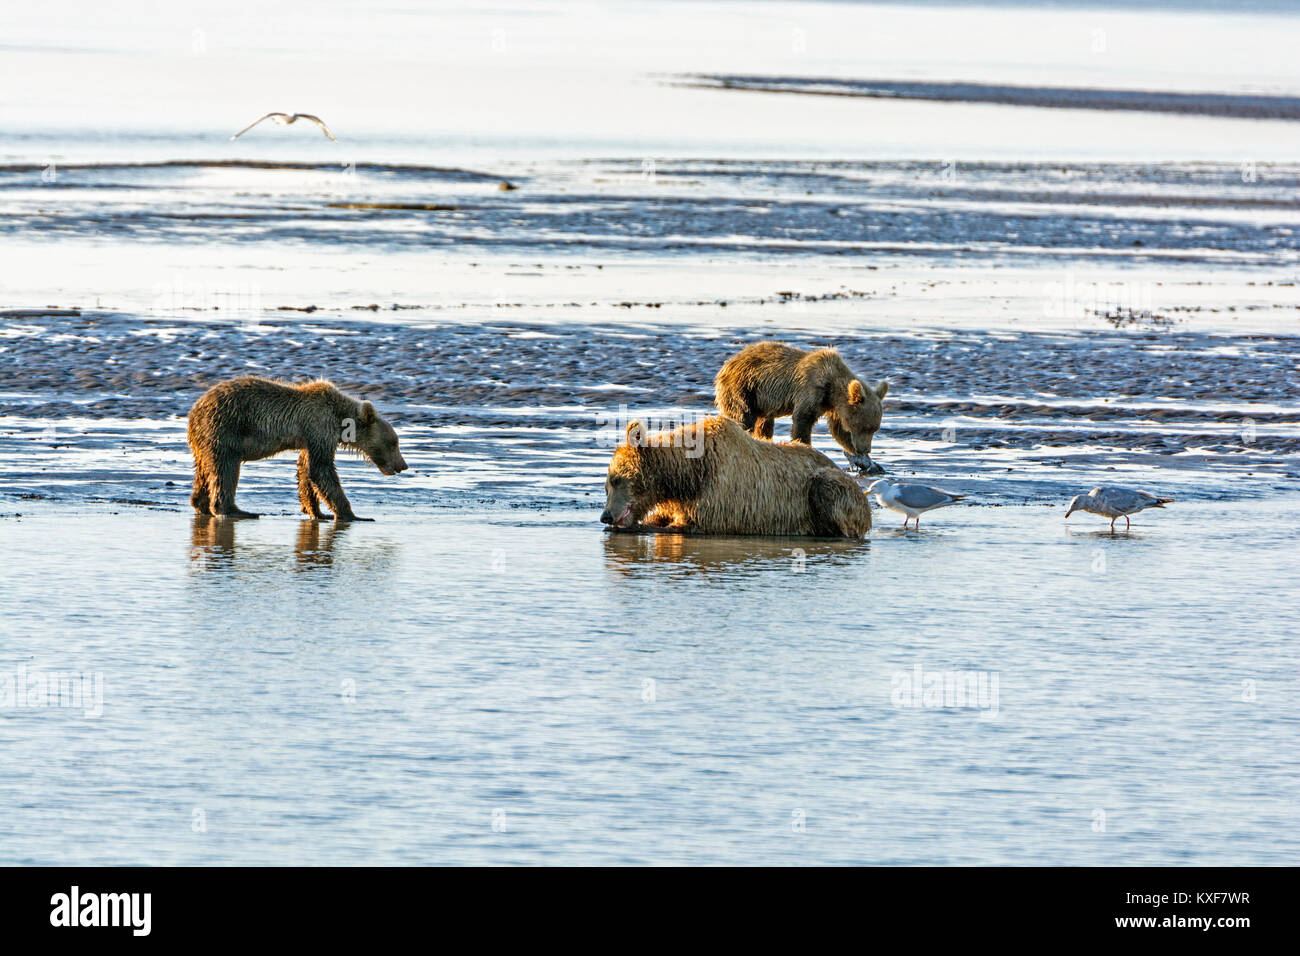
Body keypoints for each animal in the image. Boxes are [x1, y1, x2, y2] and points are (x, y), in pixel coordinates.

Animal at [187, 375, 408, 521]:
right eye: (394, 442)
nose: (403, 465)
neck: (340, 420)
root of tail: (194, 411)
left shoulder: (309, 439)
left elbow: (306, 471)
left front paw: (317, 512)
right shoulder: (320, 427)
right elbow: (322, 470)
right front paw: (352, 515)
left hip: (205, 441)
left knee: (204, 470)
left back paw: (201, 504)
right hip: (224, 429)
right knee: (226, 469)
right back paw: (236, 510)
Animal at [600, 416, 871, 538]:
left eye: (617, 480)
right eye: (607, 485)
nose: (606, 515)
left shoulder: (720, 497)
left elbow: (689, 524)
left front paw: (636, 526)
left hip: (828, 486)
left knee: (827, 492)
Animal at [714, 341, 888, 474]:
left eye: (875, 429)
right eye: (864, 427)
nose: (866, 449)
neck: (832, 388)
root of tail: (726, 365)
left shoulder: (833, 407)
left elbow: (838, 431)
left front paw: (866, 459)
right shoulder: (810, 389)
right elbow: (802, 419)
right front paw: (804, 446)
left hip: (760, 400)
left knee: (764, 425)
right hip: (743, 388)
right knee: (742, 417)